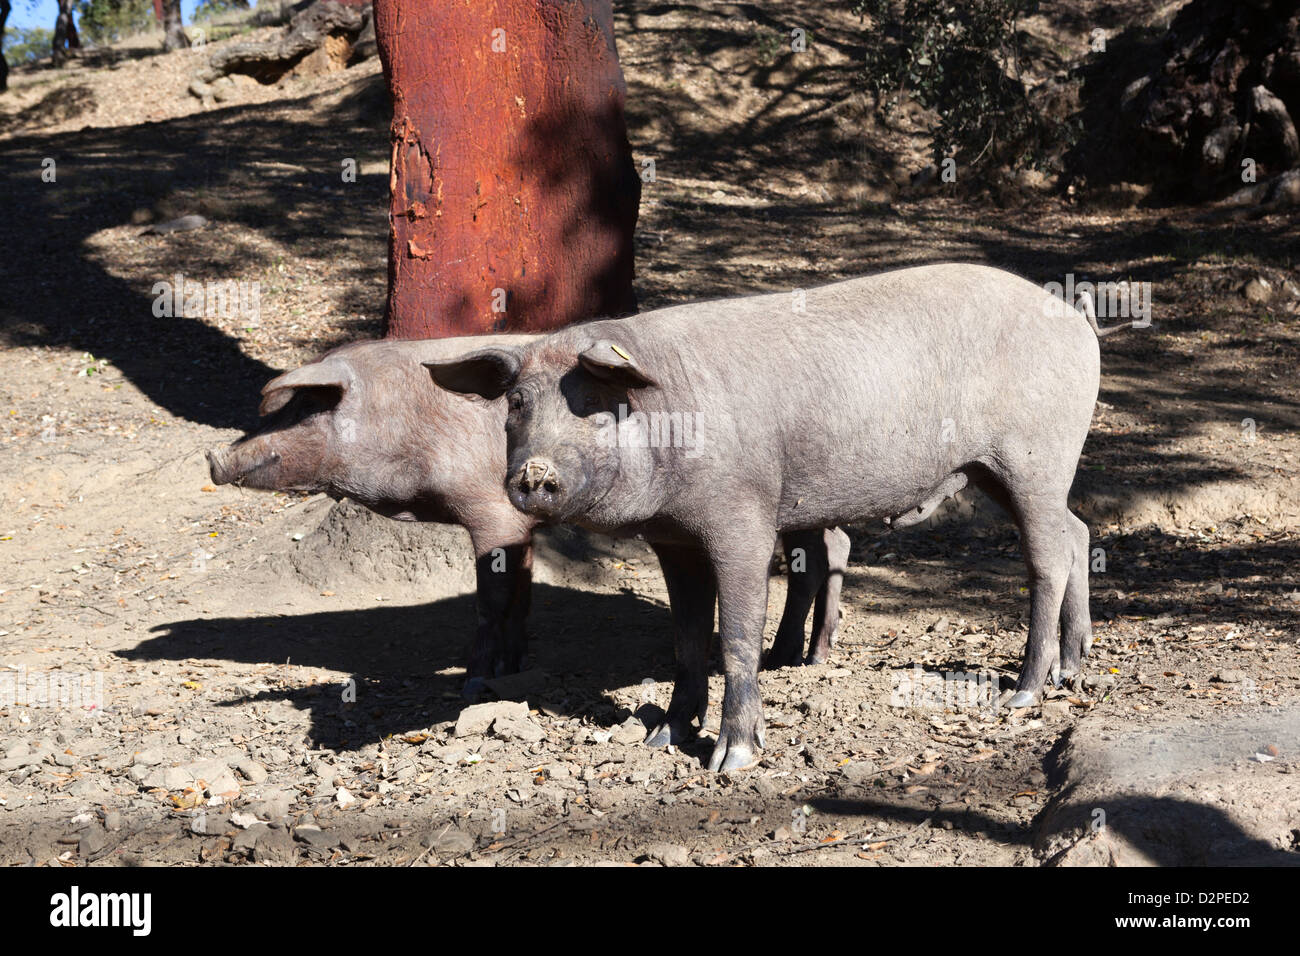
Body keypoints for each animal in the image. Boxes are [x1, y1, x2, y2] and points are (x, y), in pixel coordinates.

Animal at [206, 337, 847, 699]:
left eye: (309, 403)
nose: (213, 458)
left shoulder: (491, 512)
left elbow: (492, 598)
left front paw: (473, 683)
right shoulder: (520, 526)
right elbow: (522, 592)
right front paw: (515, 665)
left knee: (819, 557)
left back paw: (795, 659)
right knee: (827, 553)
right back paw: (803, 656)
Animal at [426, 263, 1108, 770]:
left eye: (593, 404)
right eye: (517, 403)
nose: (534, 473)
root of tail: (1076, 320)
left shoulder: (743, 516)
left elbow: (736, 634)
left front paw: (732, 759)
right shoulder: (672, 540)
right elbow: (687, 635)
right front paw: (663, 738)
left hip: (1036, 455)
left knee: (1048, 555)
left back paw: (1024, 692)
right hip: (1005, 471)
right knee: (1078, 532)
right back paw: (1073, 671)